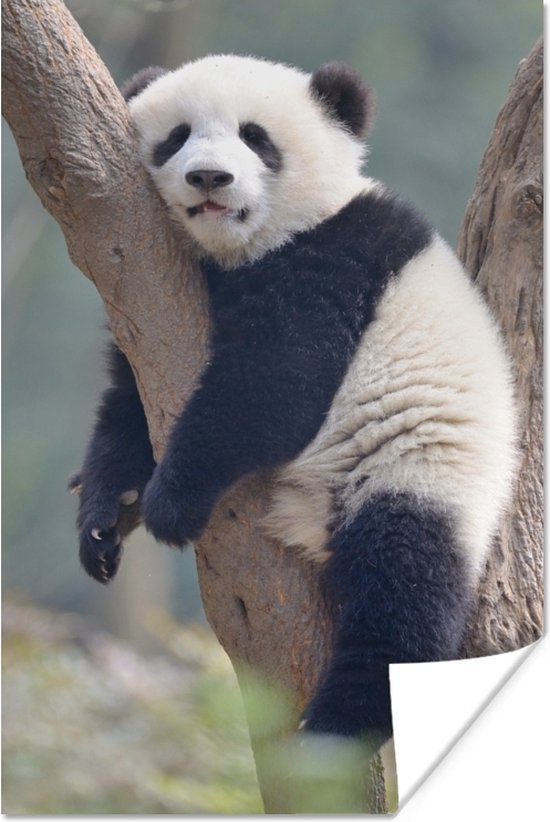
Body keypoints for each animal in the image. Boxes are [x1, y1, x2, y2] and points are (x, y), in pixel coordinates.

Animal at [72, 54, 517, 742]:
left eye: (256, 137)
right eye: (177, 136)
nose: (209, 176)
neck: (242, 253)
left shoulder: (336, 259)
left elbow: (274, 385)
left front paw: (171, 501)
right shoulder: (147, 300)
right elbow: (129, 402)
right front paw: (105, 515)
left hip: (421, 469)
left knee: (404, 581)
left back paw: (336, 728)